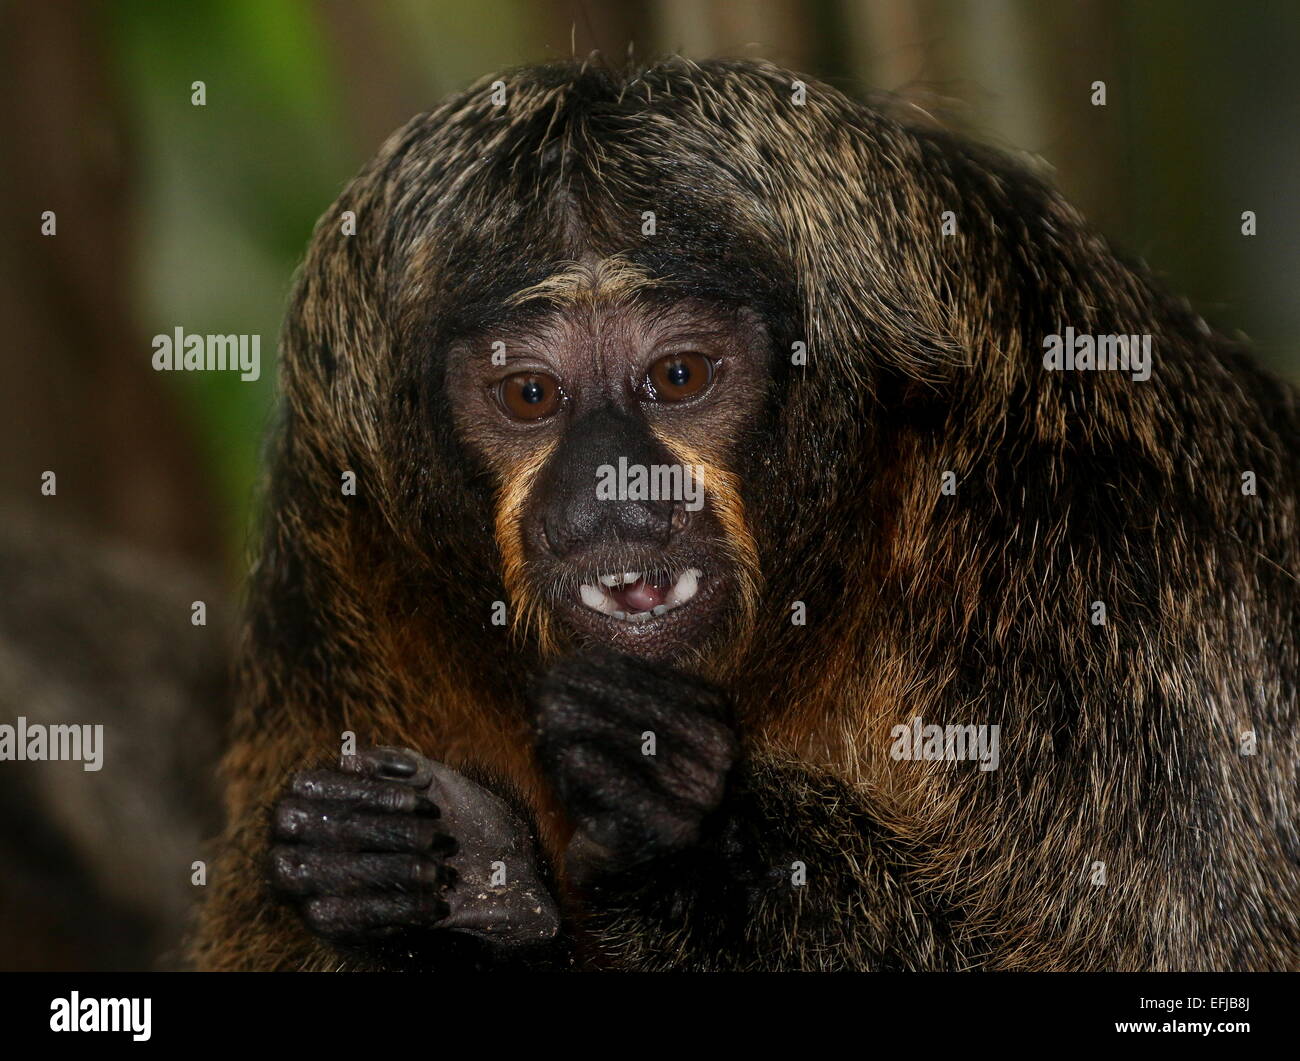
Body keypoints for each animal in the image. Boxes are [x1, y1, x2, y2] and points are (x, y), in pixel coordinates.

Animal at [192, 57, 1300, 972]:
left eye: (679, 376)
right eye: (529, 396)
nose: (607, 488)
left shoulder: (1108, 571)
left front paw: (682, 820)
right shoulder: (332, 561)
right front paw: (452, 891)